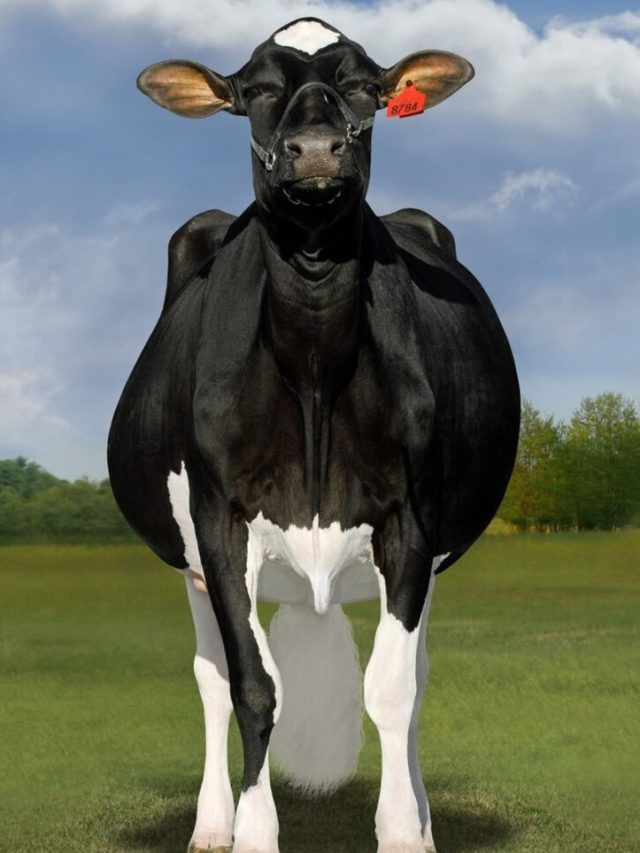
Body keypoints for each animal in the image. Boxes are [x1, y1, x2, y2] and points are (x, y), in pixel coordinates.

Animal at [108, 17, 519, 853]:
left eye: (364, 85)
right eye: (257, 90)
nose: (319, 150)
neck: (315, 374)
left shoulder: (411, 523)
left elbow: (394, 688)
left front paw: (403, 831)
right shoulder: (218, 520)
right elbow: (252, 686)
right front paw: (253, 832)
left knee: (418, 672)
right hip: (190, 563)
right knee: (210, 678)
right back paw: (212, 823)